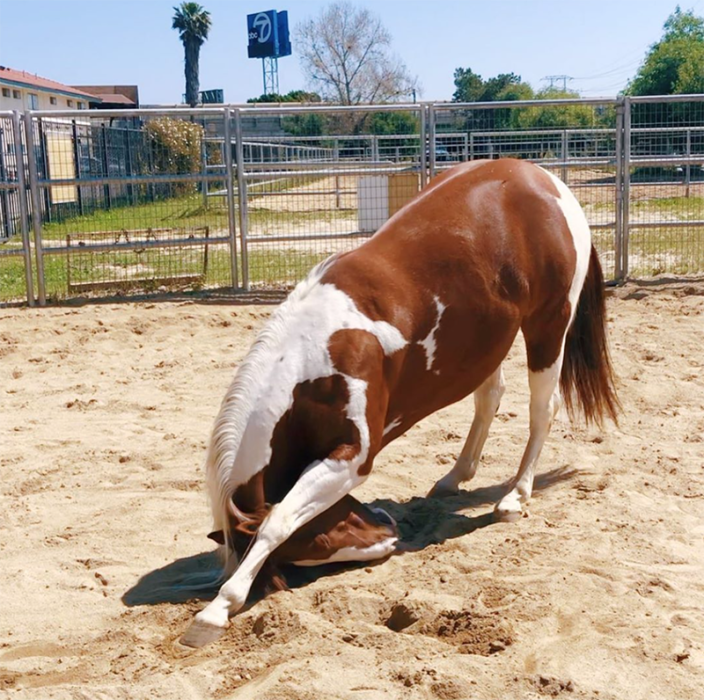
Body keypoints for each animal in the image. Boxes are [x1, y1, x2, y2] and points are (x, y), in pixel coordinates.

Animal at [180, 158, 619, 647]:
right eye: (320, 541)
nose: (389, 531)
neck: (312, 357)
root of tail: (547, 180)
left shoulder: (351, 459)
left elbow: (276, 520)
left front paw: (218, 608)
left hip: (548, 325)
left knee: (542, 410)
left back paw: (514, 497)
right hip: (489, 340)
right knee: (489, 398)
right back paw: (454, 477)